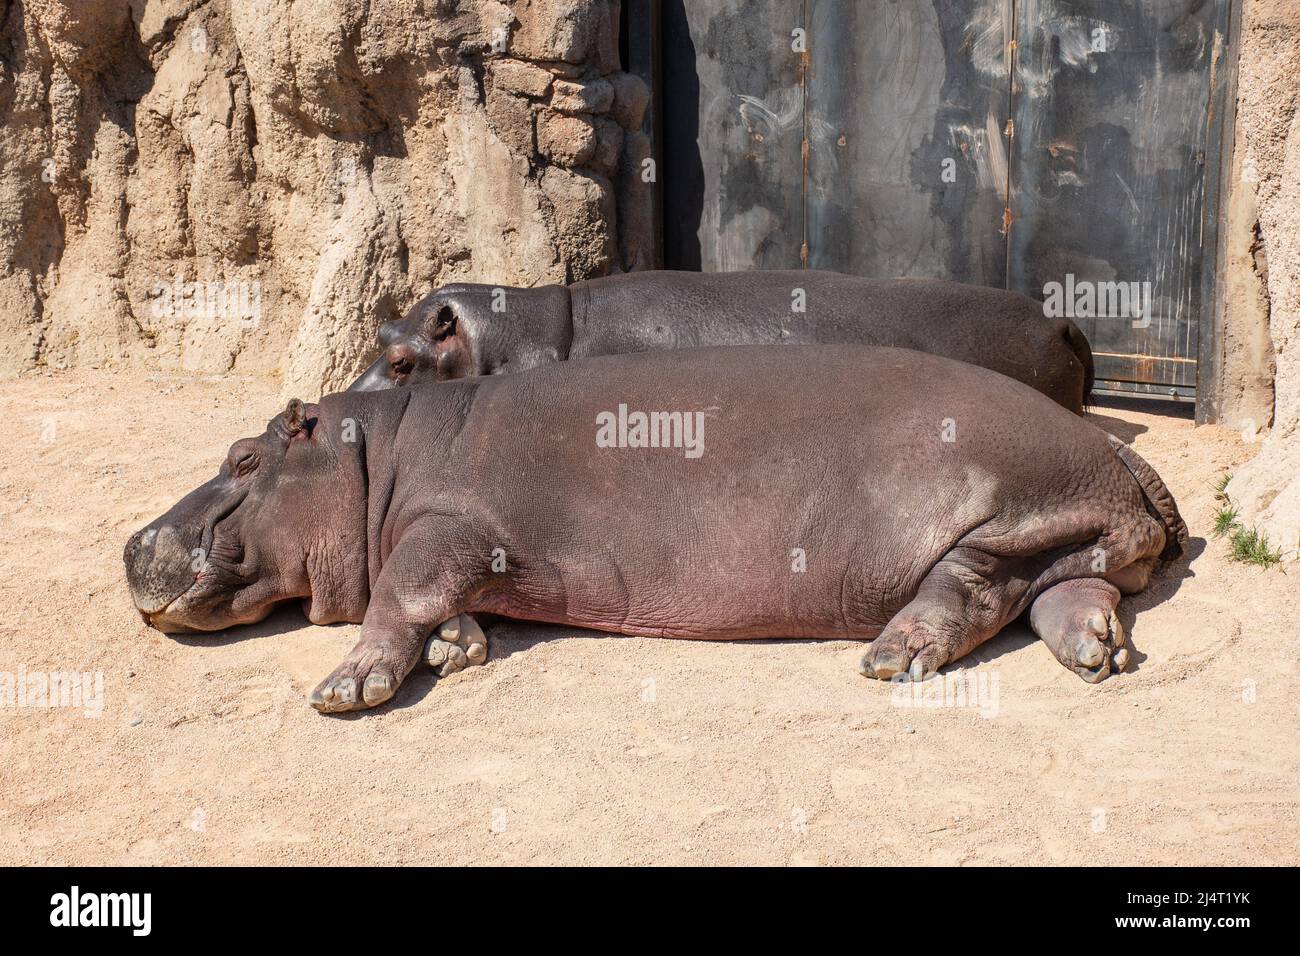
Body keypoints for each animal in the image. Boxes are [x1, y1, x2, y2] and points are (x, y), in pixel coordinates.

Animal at [125, 345, 1184, 714]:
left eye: (244, 459)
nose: (134, 541)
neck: (372, 462)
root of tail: (1113, 445)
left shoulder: (449, 523)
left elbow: (400, 591)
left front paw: (345, 691)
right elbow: (437, 607)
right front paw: (462, 649)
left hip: (998, 511)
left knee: (972, 588)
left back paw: (892, 658)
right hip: (1060, 523)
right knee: (1071, 588)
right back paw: (1095, 653)